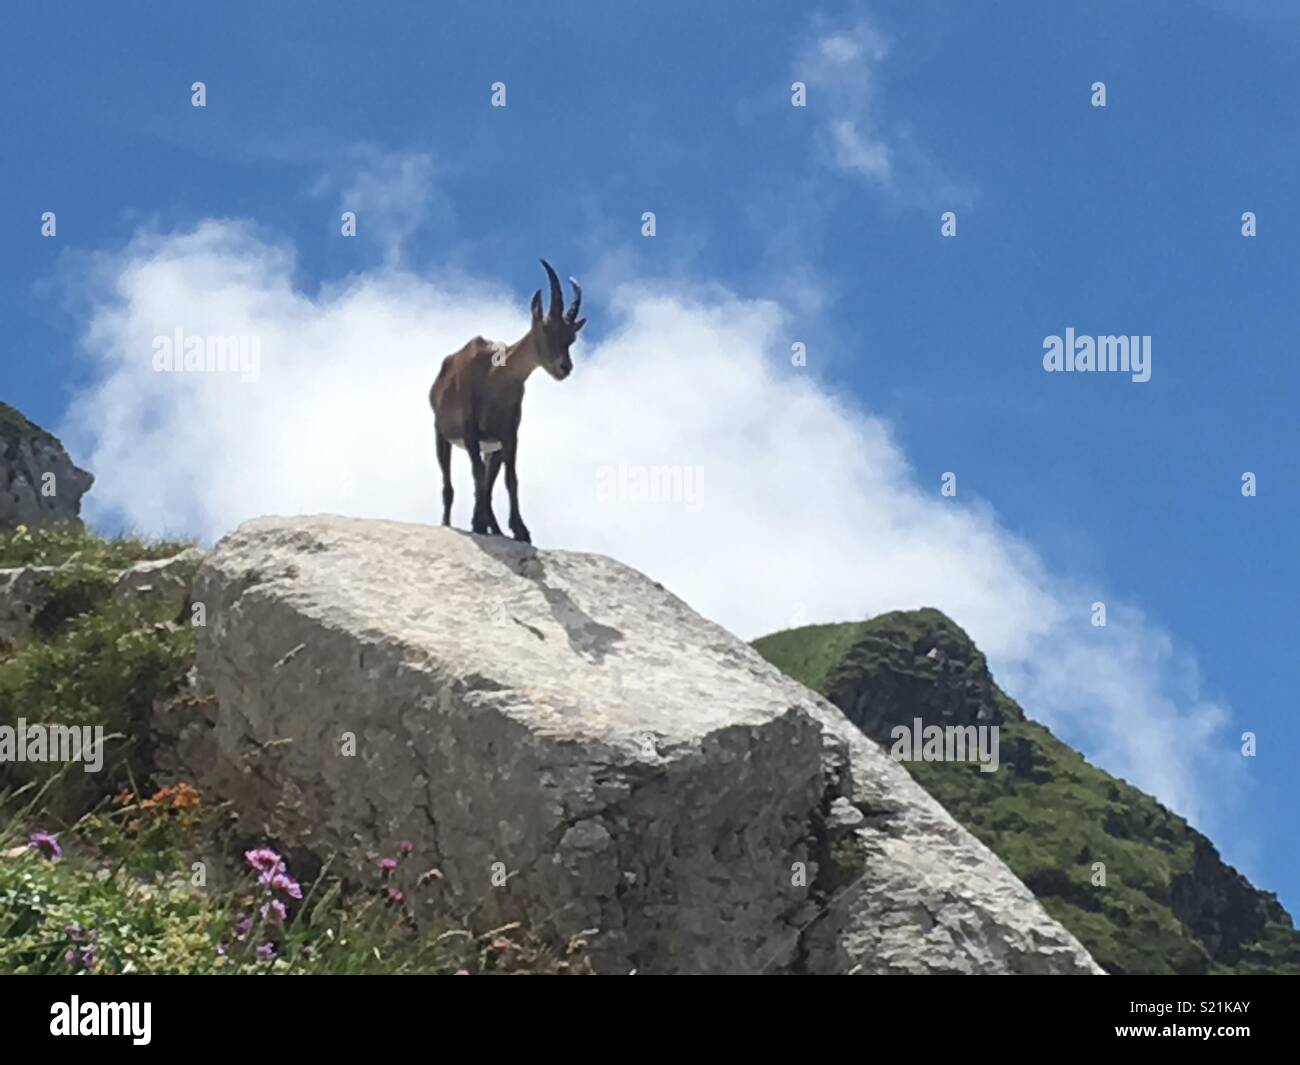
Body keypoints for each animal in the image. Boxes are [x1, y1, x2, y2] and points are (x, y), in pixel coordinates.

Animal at [429, 259, 585, 542]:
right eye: (546, 328)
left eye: (572, 338)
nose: (564, 368)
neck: (494, 376)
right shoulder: (470, 428)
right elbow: (477, 475)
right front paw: (479, 523)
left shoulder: (509, 433)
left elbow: (510, 480)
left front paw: (520, 529)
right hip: (441, 434)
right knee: (449, 484)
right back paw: (449, 523)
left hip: (493, 448)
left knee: (488, 484)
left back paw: (496, 528)